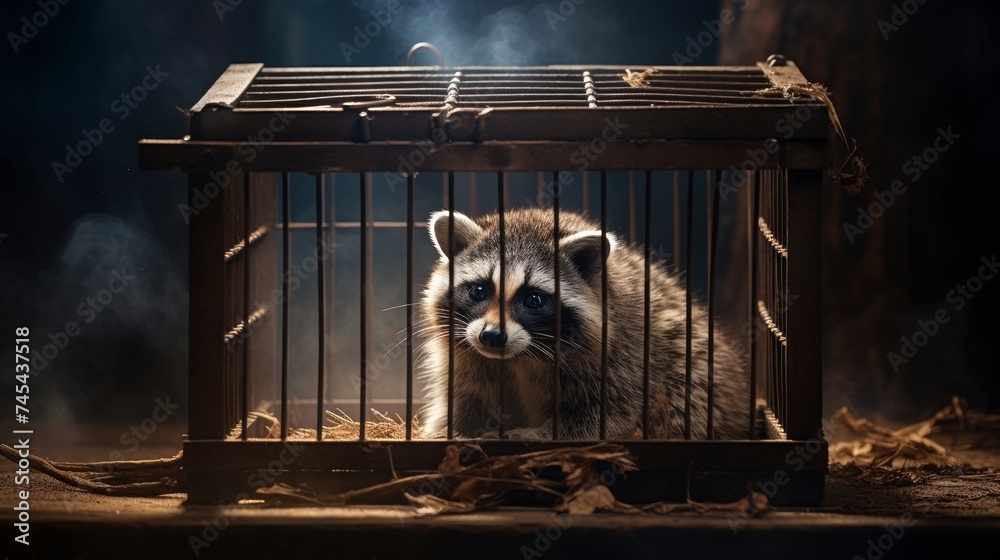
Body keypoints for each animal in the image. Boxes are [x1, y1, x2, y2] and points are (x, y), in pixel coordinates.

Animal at [418, 207, 749, 440]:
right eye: (479, 291)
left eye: (534, 300)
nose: (492, 337)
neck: (520, 357)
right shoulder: (463, 355)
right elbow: (463, 396)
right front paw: (448, 430)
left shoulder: (623, 354)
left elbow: (605, 413)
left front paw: (540, 434)